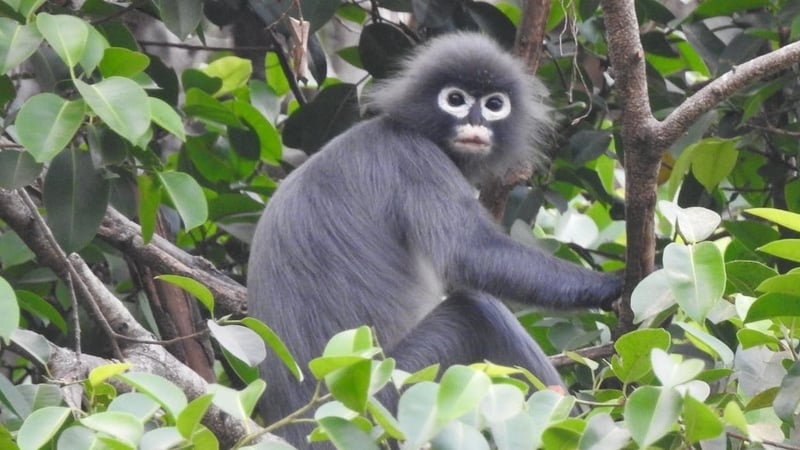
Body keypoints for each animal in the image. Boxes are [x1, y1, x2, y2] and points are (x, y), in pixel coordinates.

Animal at [247, 32, 623, 448]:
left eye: (494, 105)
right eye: (455, 99)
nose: (475, 122)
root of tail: (298, 427)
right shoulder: (415, 158)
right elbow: (472, 254)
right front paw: (616, 284)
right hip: (390, 399)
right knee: (478, 310)